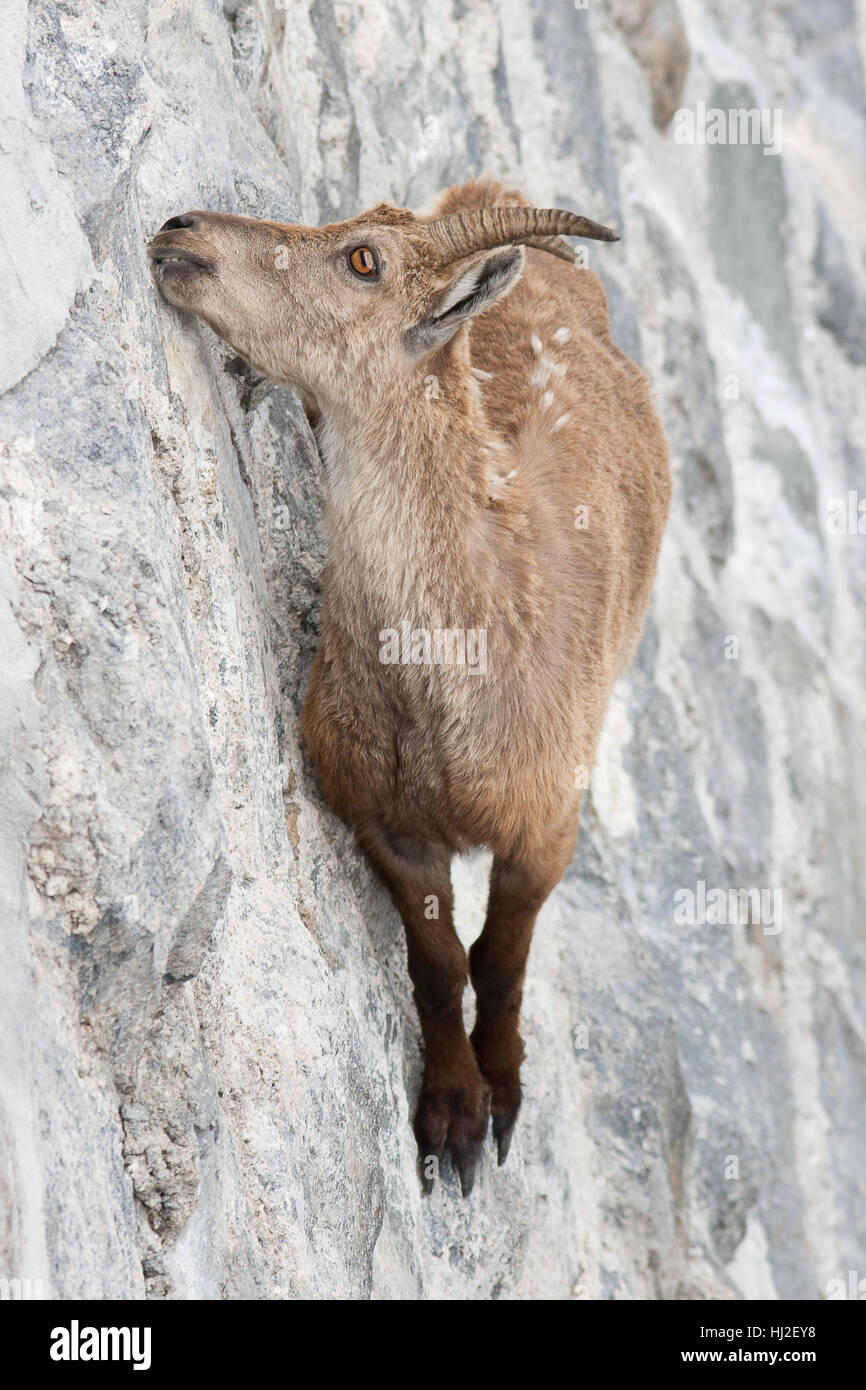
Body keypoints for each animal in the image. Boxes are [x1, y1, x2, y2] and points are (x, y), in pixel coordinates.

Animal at [148, 179, 671, 1196]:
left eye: (365, 260)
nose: (178, 229)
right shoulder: (382, 815)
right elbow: (437, 966)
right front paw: (452, 1122)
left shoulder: (547, 824)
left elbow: (500, 960)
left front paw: (503, 1100)